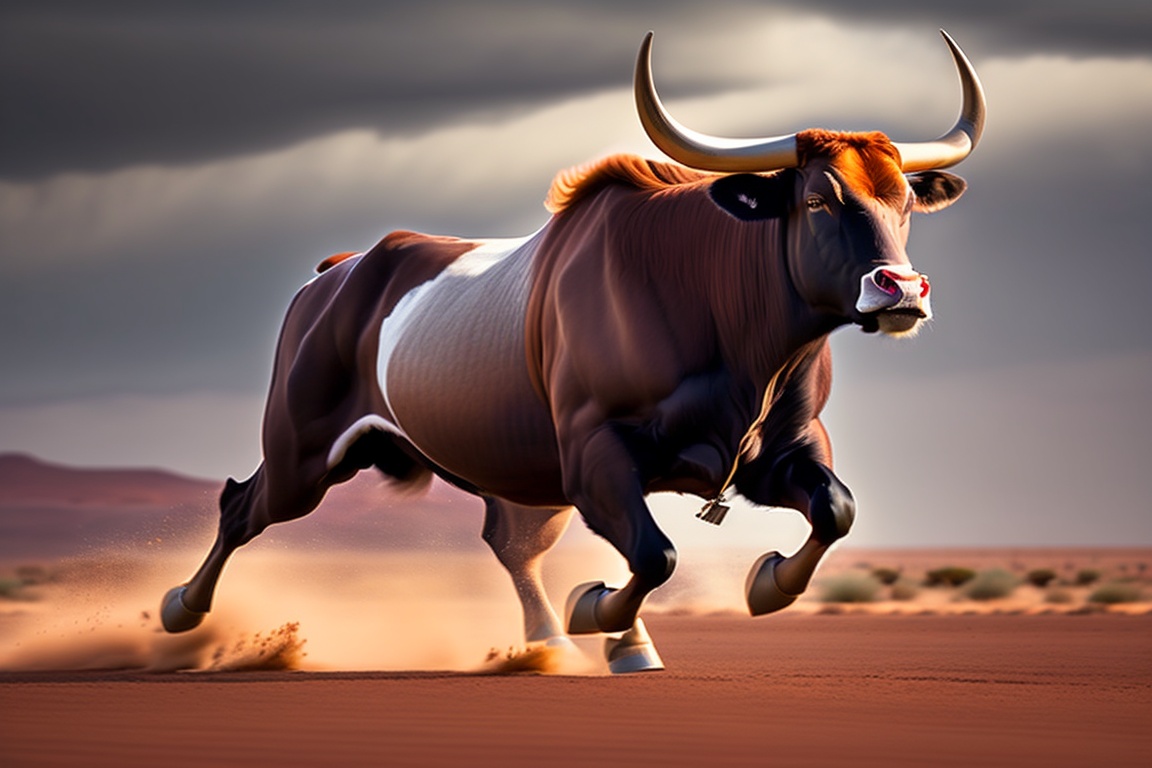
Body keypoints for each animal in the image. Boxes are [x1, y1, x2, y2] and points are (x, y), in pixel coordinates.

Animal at [161, 30, 985, 673]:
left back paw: (553, 643)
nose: (901, 287)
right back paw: (179, 612)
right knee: (242, 507)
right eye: (817, 199)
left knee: (511, 544)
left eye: (904, 203)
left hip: (513, 471)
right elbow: (654, 553)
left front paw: (762, 584)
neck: (729, 331)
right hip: (303, 452)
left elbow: (835, 510)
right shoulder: (595, 452)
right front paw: (600, 612)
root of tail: (338, 273)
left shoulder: (783, 449)